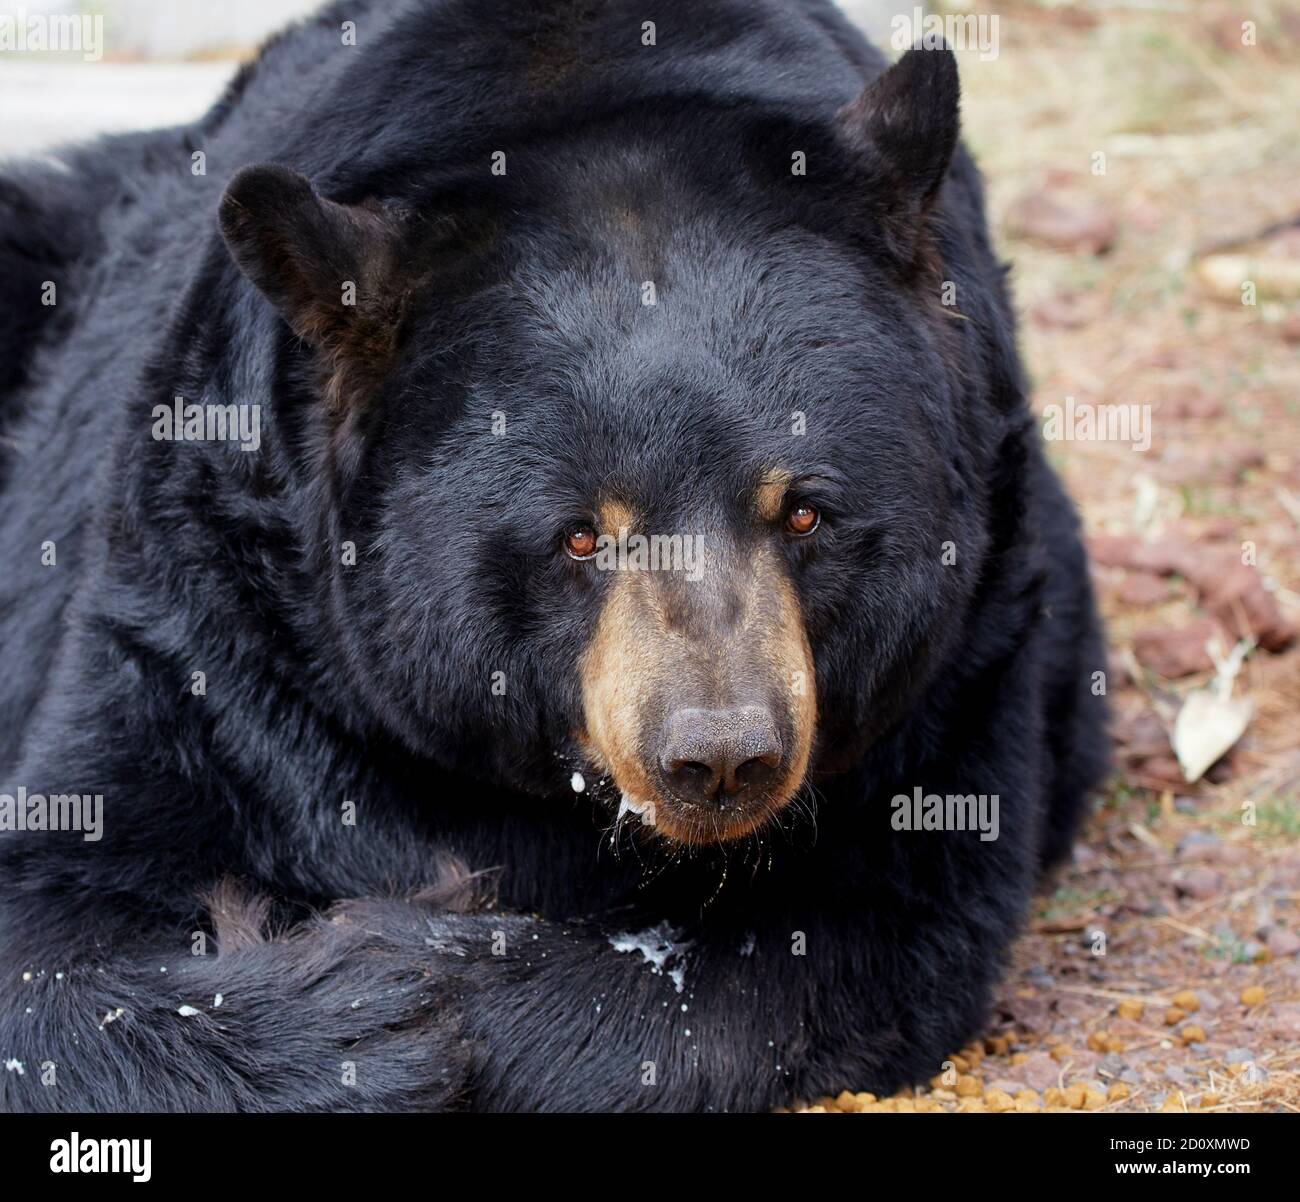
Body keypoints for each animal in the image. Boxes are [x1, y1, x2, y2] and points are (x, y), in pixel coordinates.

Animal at [0, 0, 1107, 1112]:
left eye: (803, 514)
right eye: (578, 534)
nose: (719, 757)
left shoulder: (961, 655)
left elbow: (855, 933)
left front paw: (428, 972)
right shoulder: (218, 606)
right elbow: (56, 902)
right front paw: (362, 1005)